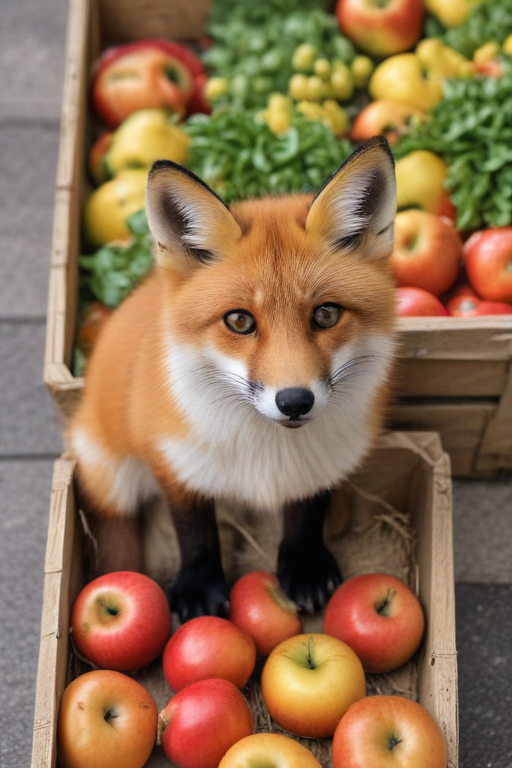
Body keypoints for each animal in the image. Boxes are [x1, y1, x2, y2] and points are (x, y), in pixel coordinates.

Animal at [68, 135, 398, 621]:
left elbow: (306, 516)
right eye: (239, 321)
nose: (294, 401)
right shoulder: (174, 462)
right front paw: (199, 589)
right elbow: (195, 533)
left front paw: (303, 567)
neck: (267, 454)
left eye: (325, 314)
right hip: (110, 470)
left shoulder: (323, 463)